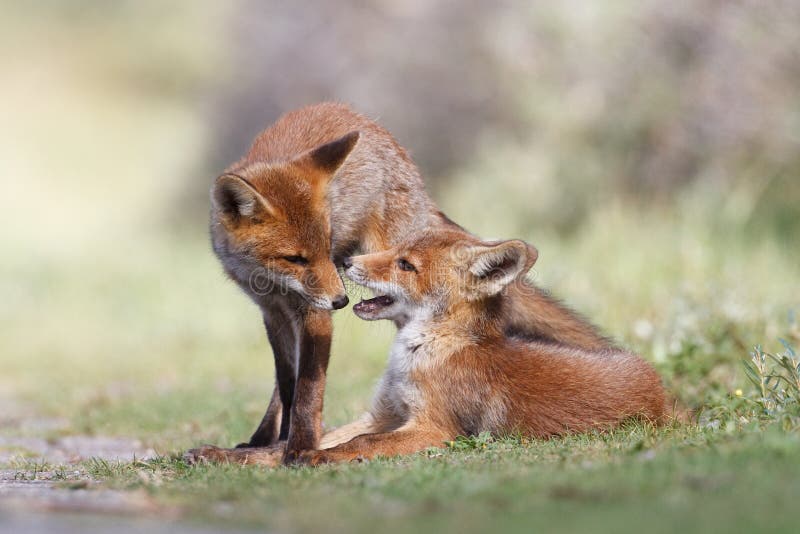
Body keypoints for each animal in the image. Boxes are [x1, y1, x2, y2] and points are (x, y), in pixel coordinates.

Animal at [186, 229, 668, 466]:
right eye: (396, 250)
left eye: (405, 265)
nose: (345, 261)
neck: (419, 355)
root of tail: (665, 395)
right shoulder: (382, 414)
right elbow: (299, 442)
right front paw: (229, 455)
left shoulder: (434, 429)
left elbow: (355, 445)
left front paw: (312, 460)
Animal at [200, 102, 615, 464]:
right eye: (296, 258)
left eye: (326, 246)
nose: (339, 301)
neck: (272, 282)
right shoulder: (271, 310)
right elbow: (288, 384)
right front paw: (271, 444)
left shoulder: (312, 312)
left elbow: (308, 392)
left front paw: (298, 447)